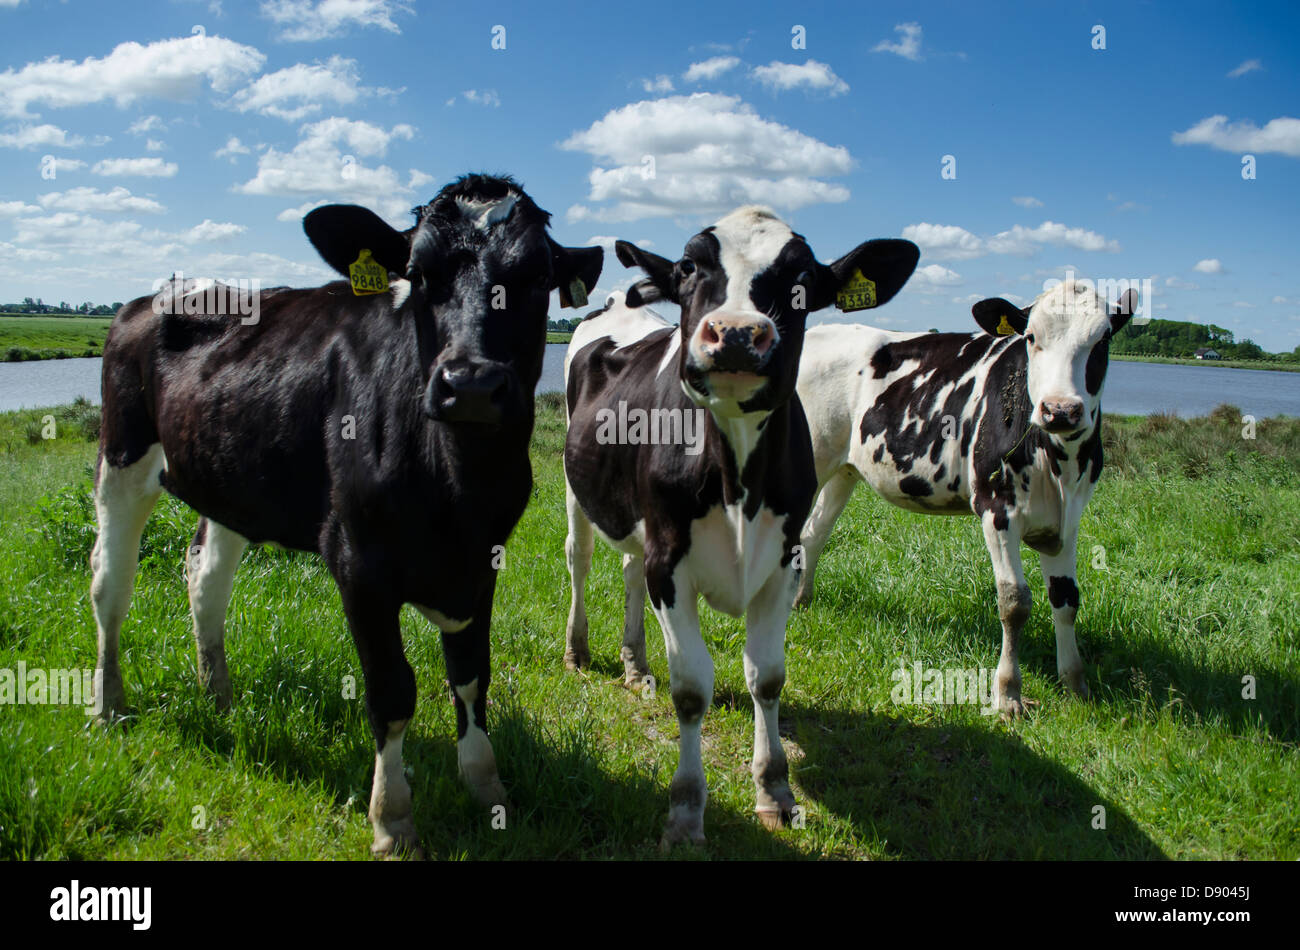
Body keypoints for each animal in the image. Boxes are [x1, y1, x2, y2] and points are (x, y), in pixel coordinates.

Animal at [89, 174, 603, 855]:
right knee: (110, 582)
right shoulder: (359, 564)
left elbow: (471, 674)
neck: (459, 491)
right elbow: (392, 691)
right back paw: (110, 705)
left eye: (537, 275)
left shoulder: (483, 562)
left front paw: (485, 784)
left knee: (204, 576)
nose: (469, 384)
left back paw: (218, 695)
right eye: (418, 272)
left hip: (226, 480)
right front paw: (392, 817)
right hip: (121, 456)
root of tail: (153, 297)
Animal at [562, 206, 919, 845]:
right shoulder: (670, 562)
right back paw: (578, 650)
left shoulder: (783, 561)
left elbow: (767, 677)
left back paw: (635, 663)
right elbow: (691, 689)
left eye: (803, 278)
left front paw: (774, 789)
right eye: (687, 266)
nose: (733, 332)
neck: (737, 479)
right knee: (579, 559)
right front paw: (685, 808)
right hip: (576, 488)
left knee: (627, 570)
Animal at [794, 279, 1139, 715]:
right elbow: (1014, 602)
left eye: (1103, 339)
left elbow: (1066, 598)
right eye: (1031, 337)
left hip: (844, 469)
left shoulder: (1069, 518)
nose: (1060, 409)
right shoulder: (996, 506)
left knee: (814, 533)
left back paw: (801, 600)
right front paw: (1008, 693)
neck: (1057, 464)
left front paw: (1075, 684)